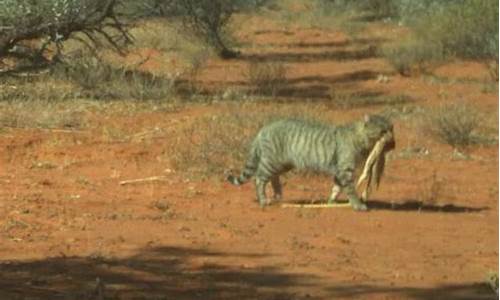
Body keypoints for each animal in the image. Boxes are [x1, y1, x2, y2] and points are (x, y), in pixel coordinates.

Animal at [227, 115, 394, 211]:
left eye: (392, 129)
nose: (392, 142)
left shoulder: (339, 172)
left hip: (282, 164)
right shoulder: (345, 170)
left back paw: (278, 195)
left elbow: (336, 188)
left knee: (273, 178)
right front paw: (358, 205)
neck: (359, 138)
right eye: (383, 131)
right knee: (259, 179)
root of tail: (263, 128)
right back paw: (263, 200)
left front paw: (331, 202)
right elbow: (351, 190)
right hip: (271, 162)